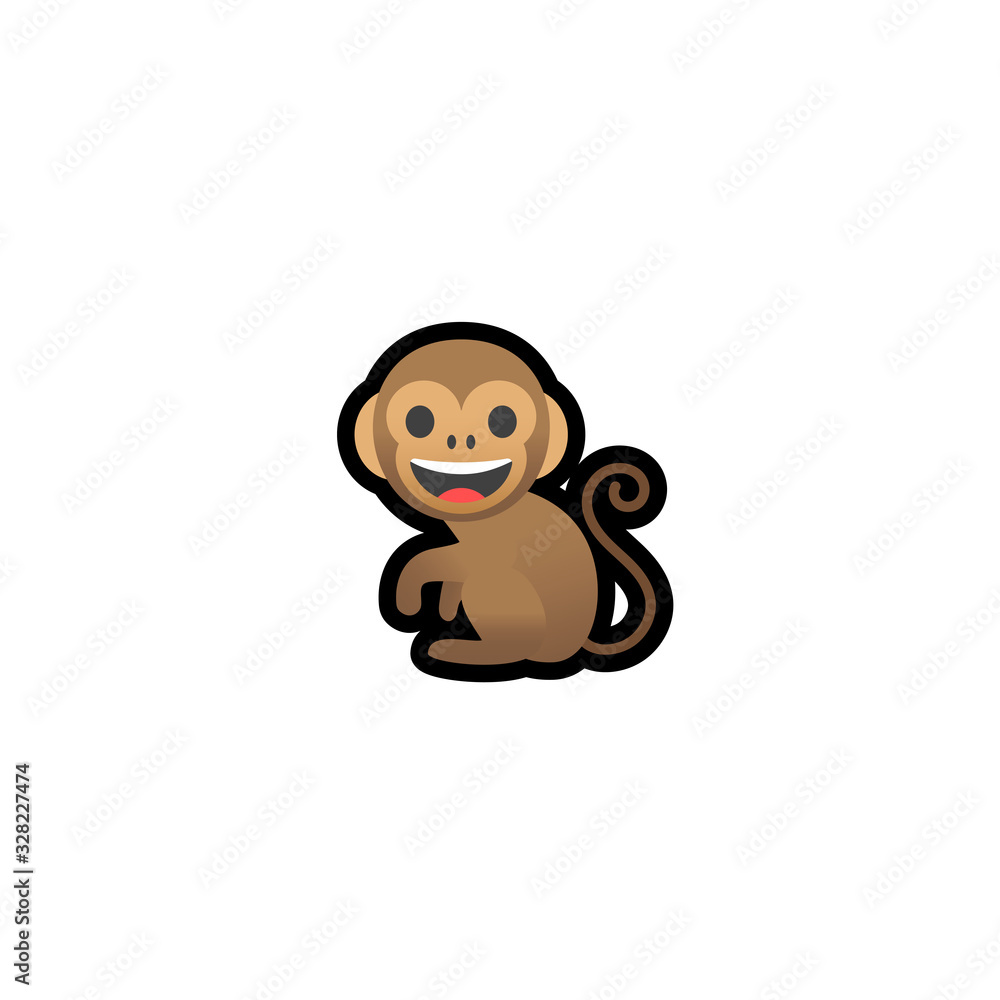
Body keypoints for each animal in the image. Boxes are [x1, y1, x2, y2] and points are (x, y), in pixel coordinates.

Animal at [338, 322, 672, 682]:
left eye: (504, 419)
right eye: (418, 420)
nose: (462, 440)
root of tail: (579, 642)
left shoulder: (489, 549)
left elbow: (441, 560)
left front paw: (409, 597)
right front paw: (444, 608)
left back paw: (466, 653)